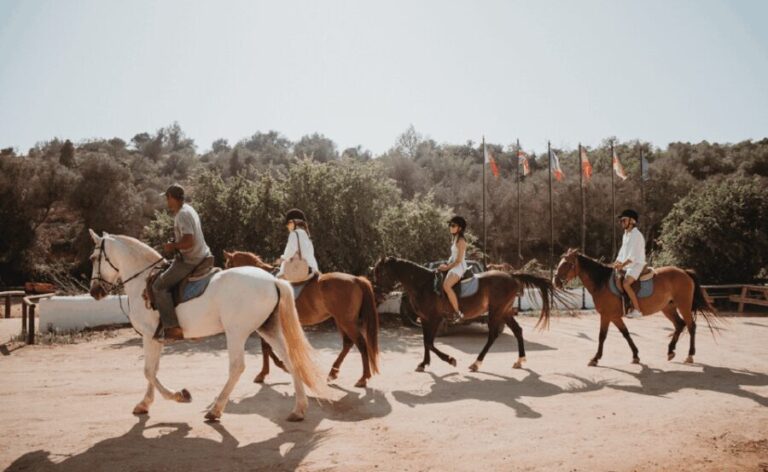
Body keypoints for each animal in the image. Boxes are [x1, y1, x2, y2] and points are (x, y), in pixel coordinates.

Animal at [87, 230, 329, 422]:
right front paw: (145, 403)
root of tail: (273, 280)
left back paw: (216, 409)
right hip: (268, 328)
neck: (144, 281)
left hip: (236, 332)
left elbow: (148, 371)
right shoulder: (155, 337)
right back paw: (299, 409)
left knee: (237, 367)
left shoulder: (148, 335)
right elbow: (153, 370)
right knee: (290, 359)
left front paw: (179, 395)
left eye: (93, 257)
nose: (94, 291)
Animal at [223, 250, 380, 388]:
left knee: (361, 344)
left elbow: (266, 347)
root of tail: (356, 279)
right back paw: (333, 373)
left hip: (347, 322)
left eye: (228, 266)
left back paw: (363, 378)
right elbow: (268, 348)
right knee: (348, 344)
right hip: (341, 321)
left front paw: (266, 372)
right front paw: (278, 367)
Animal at [372, 256, 565, 372]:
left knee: (493, 335)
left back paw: (476, 363)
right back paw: (519, 360)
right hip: (504, 312)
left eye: (381, 272)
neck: (423, 285)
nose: (376, 294)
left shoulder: (435, 319)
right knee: (517, 331)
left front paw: (450, 359)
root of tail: (511, 276)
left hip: (496, 312)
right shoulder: (426, 319)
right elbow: (426, 342)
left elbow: (430, 343)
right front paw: (423, 364)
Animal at [553, 248, 720, 366]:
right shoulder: (614, 316)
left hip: (683, 305)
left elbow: (602, 336)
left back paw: (690, 355)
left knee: (691, 326)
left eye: (567, 264)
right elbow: (625, 333)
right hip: (668, 308)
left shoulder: (607, 315)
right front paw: (635, 355)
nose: (556, 281)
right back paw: (670, 351)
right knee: (680, 325)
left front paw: (595, 358)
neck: (602, 282)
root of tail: (684, 272)